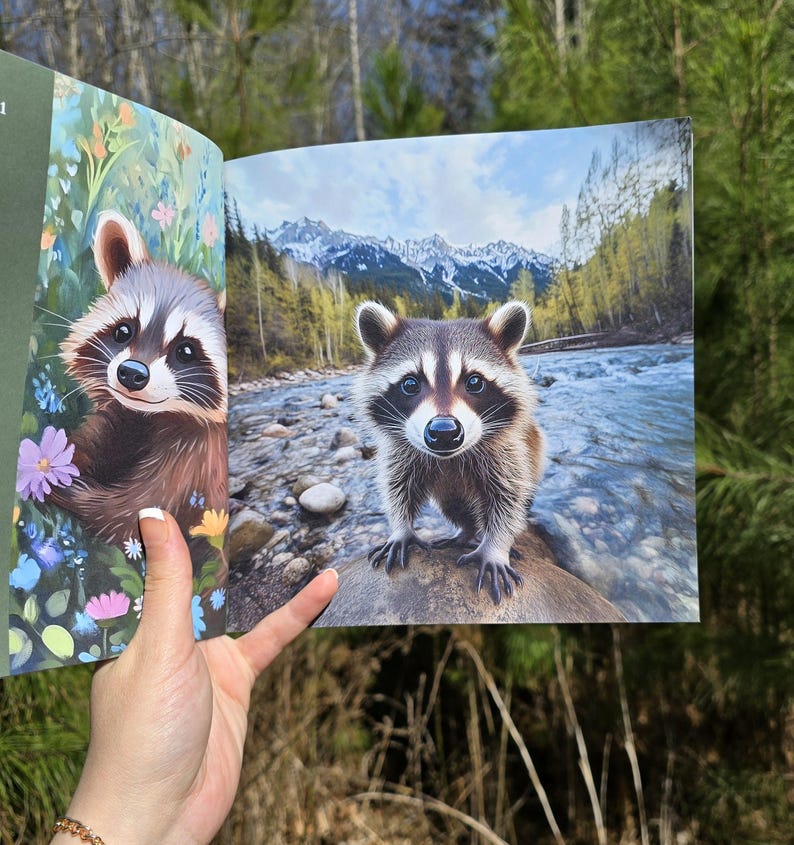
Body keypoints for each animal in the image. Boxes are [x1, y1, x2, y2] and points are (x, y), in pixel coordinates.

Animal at [48, 210, 227, 548]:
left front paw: (73, 495)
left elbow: (126, 515)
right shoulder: (121, 419)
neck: (151, 417)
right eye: (123, 331)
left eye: (186, 350)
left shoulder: (200, 459)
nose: (132, 373)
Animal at [355, 300, 544, 603]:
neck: (450, 459)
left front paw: (495, 548)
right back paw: (464, 531)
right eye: (410, 384)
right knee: (453, 504)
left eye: (475, 382)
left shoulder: (507, 453)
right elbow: (397, 488)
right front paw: (401, 529)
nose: (444, 431)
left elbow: (507, 500)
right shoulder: (401, 454)